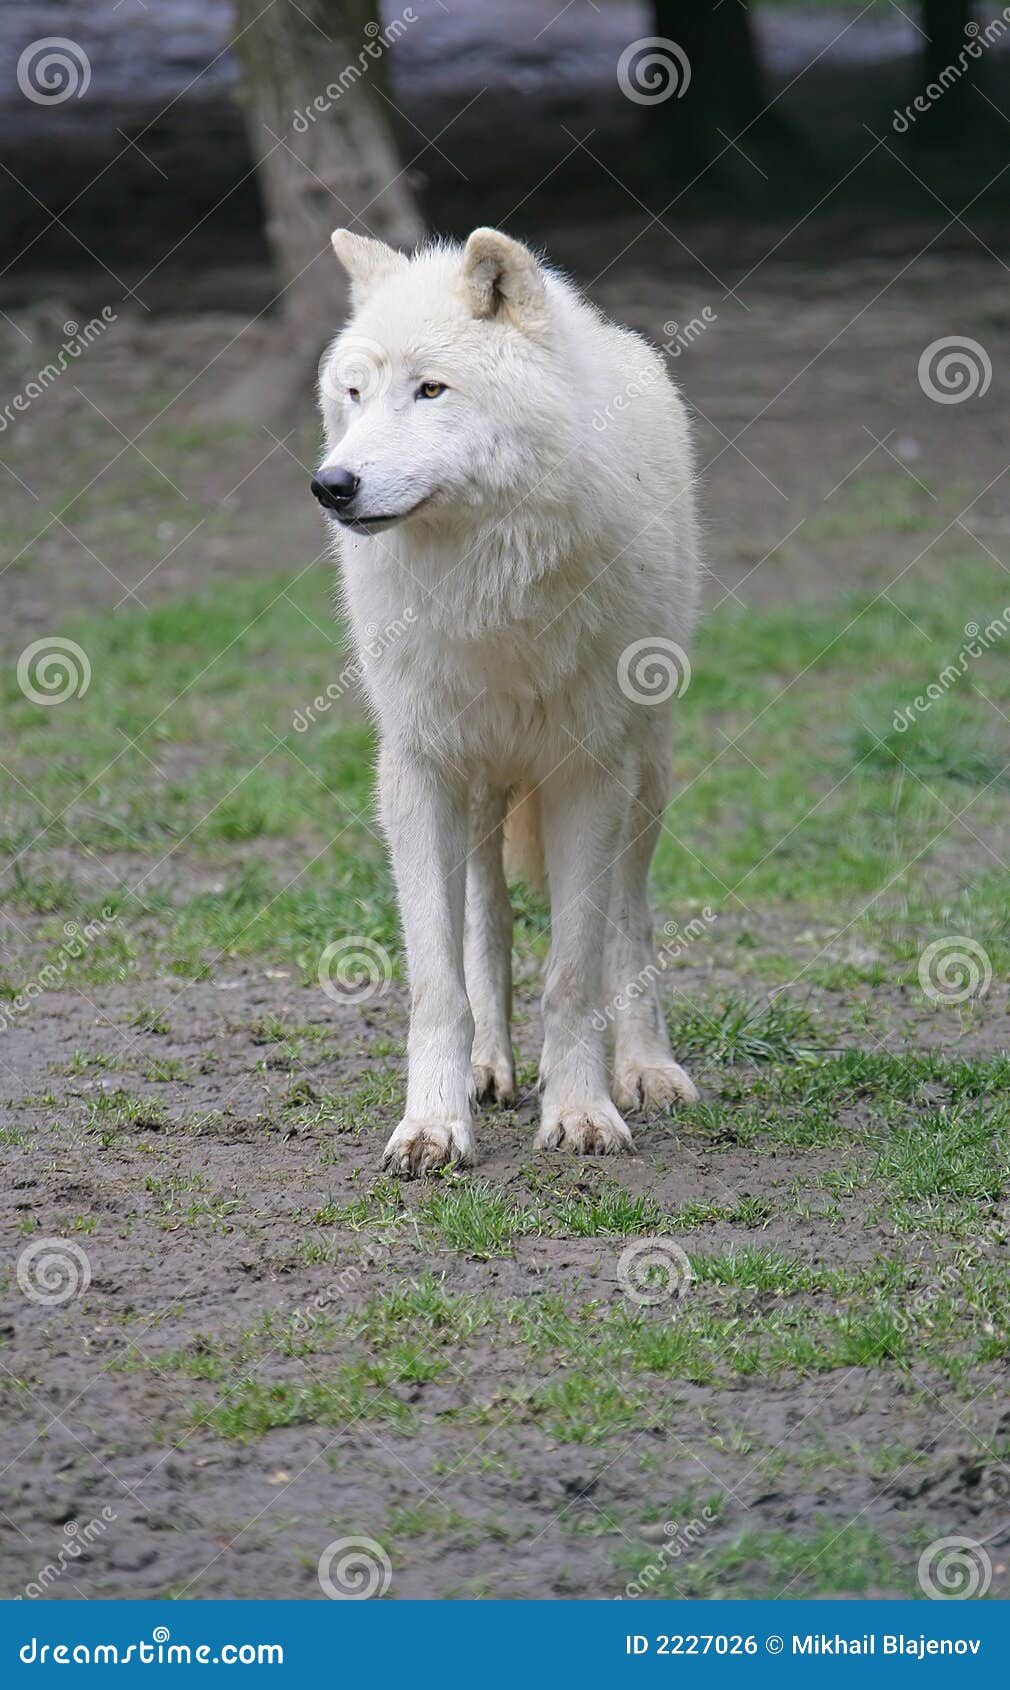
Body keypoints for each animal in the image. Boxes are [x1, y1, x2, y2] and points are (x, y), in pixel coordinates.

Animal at [312, 226, 701, 1174]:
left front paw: (583, 1112)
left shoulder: (588, 774)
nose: (332, 485)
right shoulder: (418, 772)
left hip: (646, 775)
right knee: (486, 918)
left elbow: (573, 972)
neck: (486, 587)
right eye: (355, 393)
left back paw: (647, 1066)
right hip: (482, 786)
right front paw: (432, 1125)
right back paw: (492, 1064)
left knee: (628, 920)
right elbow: (436, 979)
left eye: (431, 389)